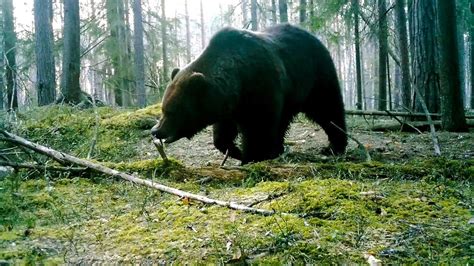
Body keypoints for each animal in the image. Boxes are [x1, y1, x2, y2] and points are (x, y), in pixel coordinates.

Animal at [153, 23, 348, 164]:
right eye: (163, 109)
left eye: (171, 111)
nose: (155, 130)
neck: (238, 82)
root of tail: (313, 36)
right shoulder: (228, 106)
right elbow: (223, 134)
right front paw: (236, 151)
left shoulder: (260, 87)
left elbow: (258, 127)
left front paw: (252, 156)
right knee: (284, 120)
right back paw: (278, 148)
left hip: (315, 76)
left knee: (328, 108)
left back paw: (334, 146)